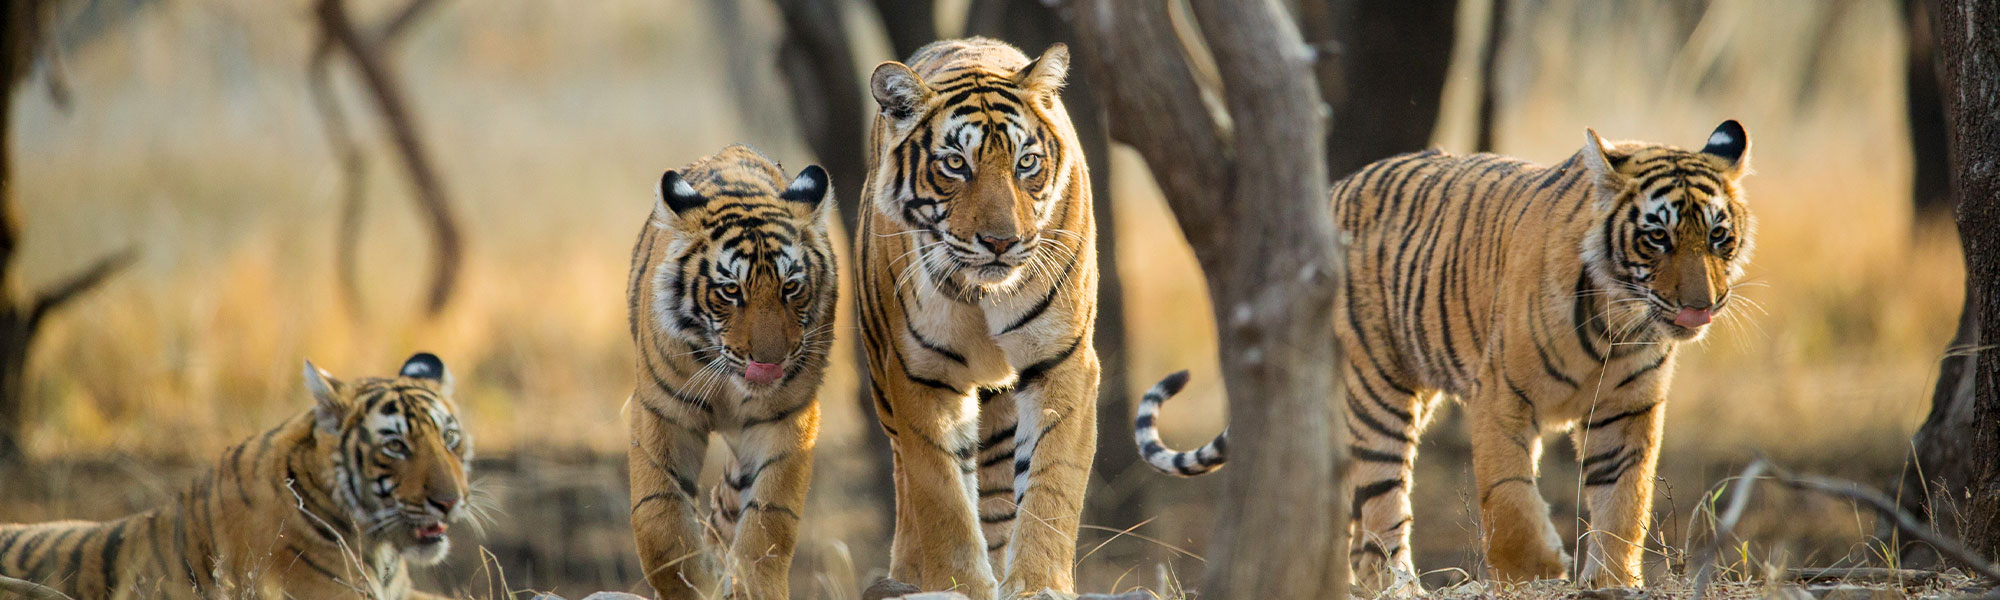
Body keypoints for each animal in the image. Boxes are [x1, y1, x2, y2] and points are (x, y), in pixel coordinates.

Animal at [624, 144, 837, 600]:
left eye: (791, 287)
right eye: (730, 291)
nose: (769, 362)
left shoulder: (786, 417)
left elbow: (769, 519)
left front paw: (752, 586)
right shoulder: (662, 412)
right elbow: (659, 521)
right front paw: (694, 584)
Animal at [856, 38, 1099, 600]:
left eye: (1026, 163)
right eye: (954, 165)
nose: (1001, 242)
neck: (982, 293)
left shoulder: (1062, 360)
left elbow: (1051, 484)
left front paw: (1038, 583)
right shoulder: (921, 374)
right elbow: (941, 494)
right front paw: (959, 585)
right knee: (908, 483)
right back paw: (905, 576)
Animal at [1136, 121, 1757, 592]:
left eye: (1718, 236)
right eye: (1657, 238)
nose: (1701, 306)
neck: (1617, 323)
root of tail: (1332, 191)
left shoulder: (1626, 411)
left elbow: (1624, 503)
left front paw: (1612, 582)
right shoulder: (1501, 396)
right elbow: (1508, 497)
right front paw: (1534, 572)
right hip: (1377, 393)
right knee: (1381, 514)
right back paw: (1401, 587)